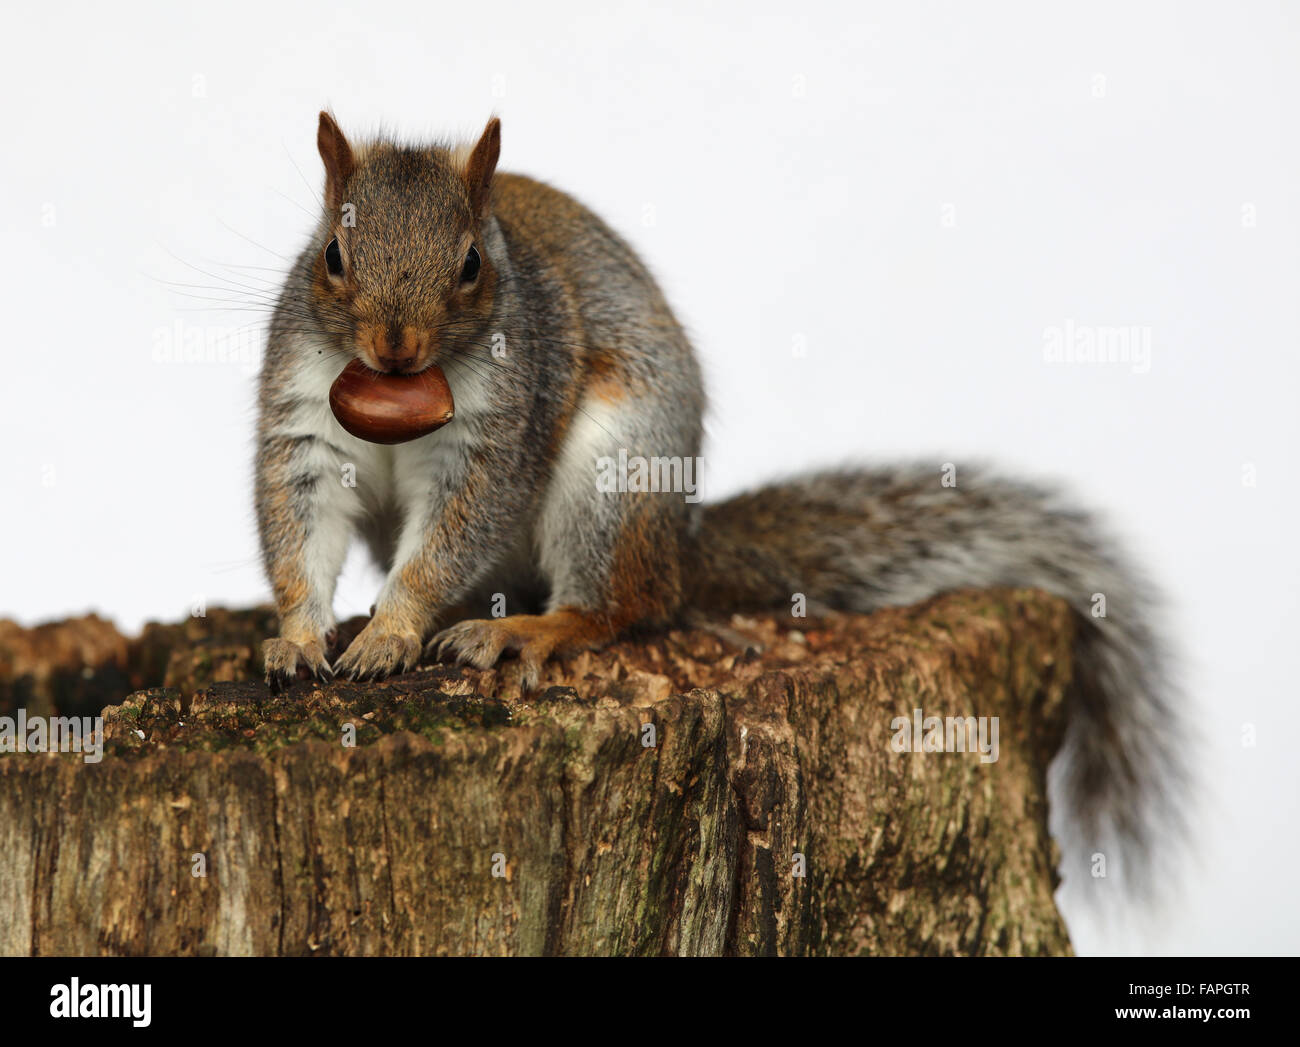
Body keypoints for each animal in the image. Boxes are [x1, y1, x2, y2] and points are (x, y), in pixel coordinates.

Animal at [256, 112, 1187, 887]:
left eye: (472, 265)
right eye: (331, 256)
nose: (395, 348)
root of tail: (681, 547)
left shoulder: (496, 436)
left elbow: (453, 532)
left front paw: (389, 632)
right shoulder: (303, 425)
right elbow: (297, 532)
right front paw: (299, 640)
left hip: (614, 479)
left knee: (622, 606)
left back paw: (524, 628)